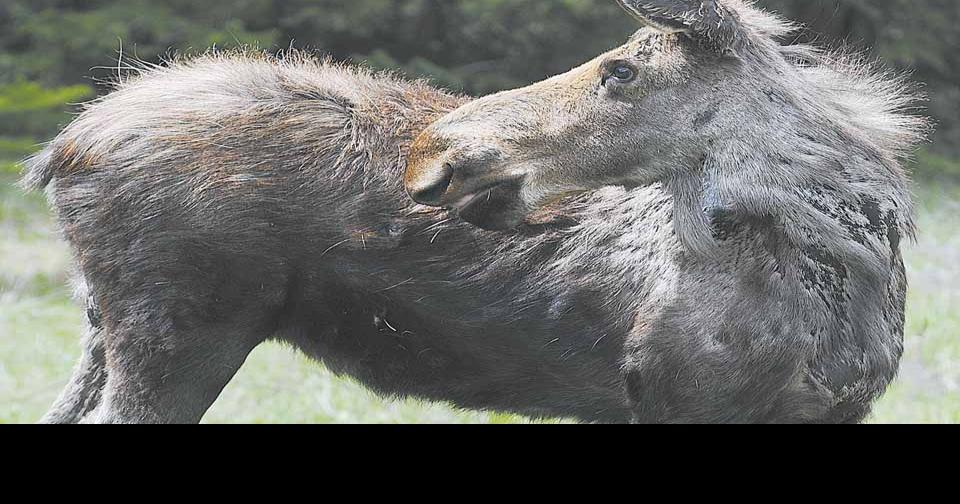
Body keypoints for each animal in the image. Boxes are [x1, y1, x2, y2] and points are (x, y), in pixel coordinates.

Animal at [24, 0, 925, 424]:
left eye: (620, 72)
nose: (436, 153)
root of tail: (65, 146)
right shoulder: (674, 400)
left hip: (106, 328)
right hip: (181, 332)